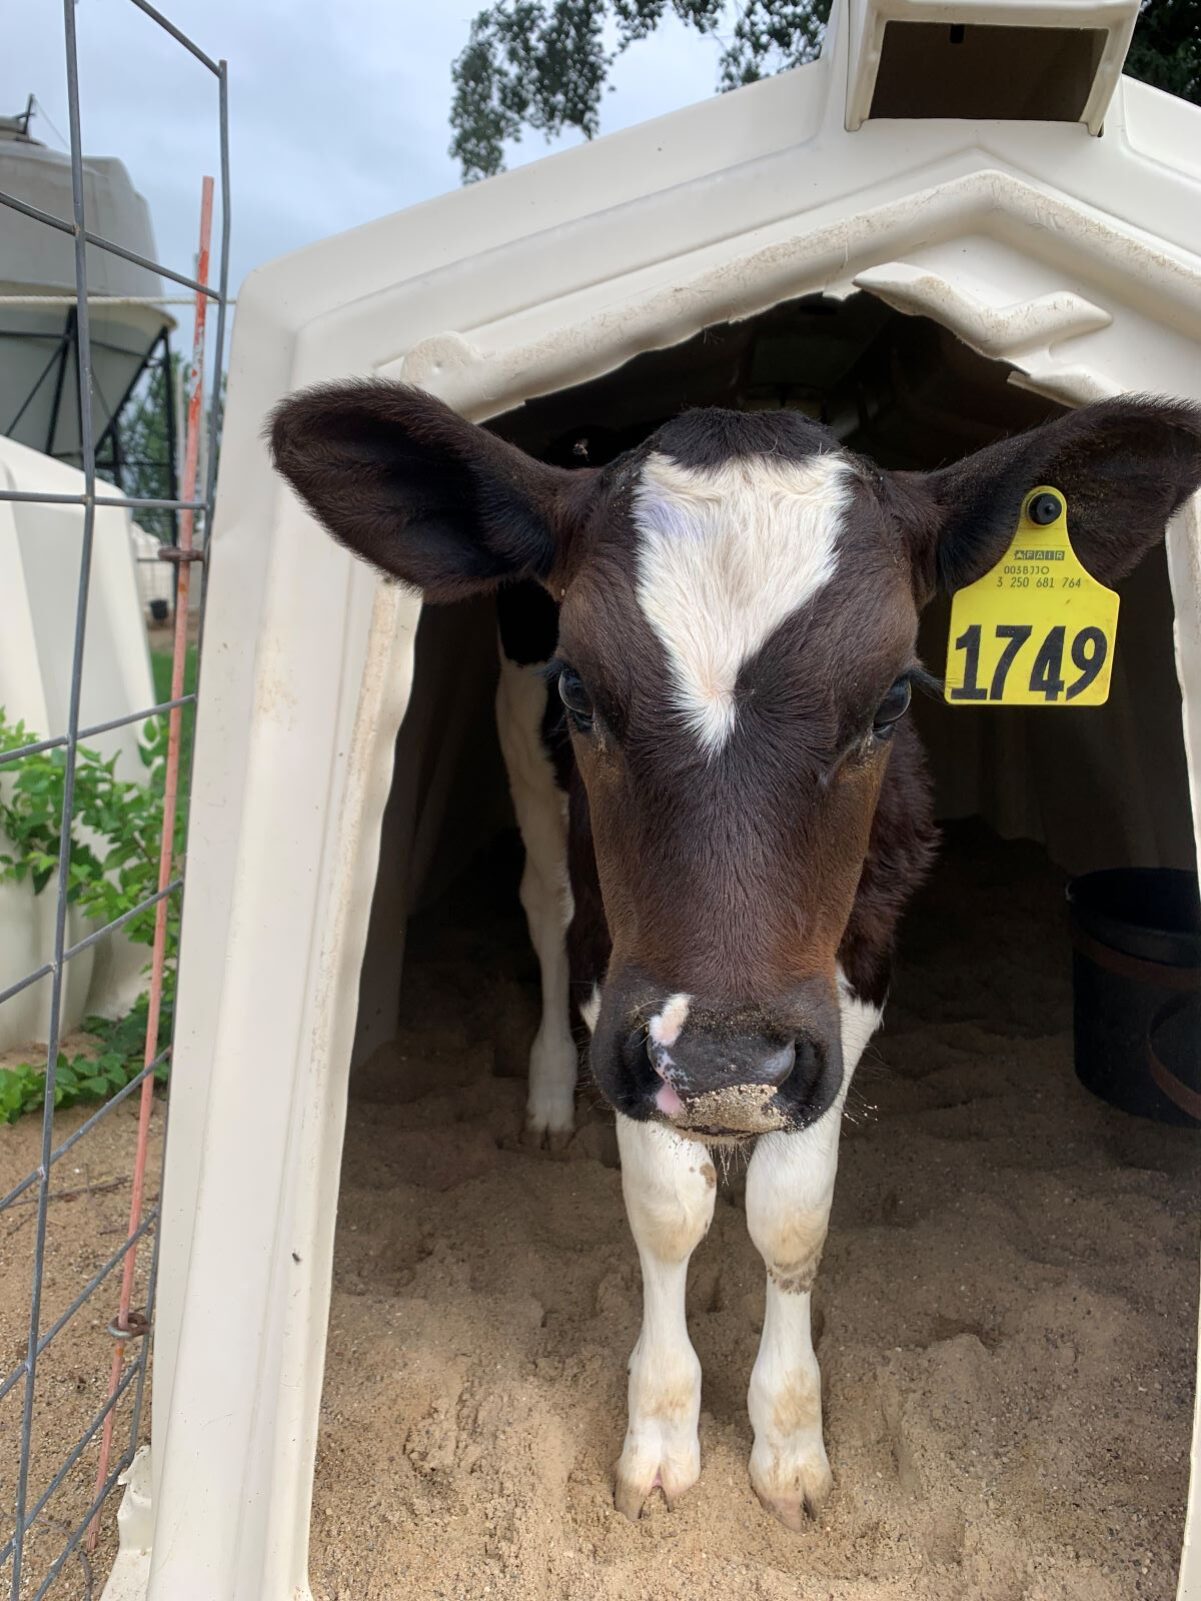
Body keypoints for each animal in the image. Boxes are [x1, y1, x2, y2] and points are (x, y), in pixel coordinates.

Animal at [269, 382, 1201, 1529]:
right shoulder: (624, 993)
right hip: (521, 764)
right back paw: (548, 1094)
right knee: (541, 900)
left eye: (894, 697)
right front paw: (662, 1433)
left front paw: (790, 1444)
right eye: (580, 690)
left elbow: (791, 1218)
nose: (719, 1066)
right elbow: (668, 1214)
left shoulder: (847, 989)